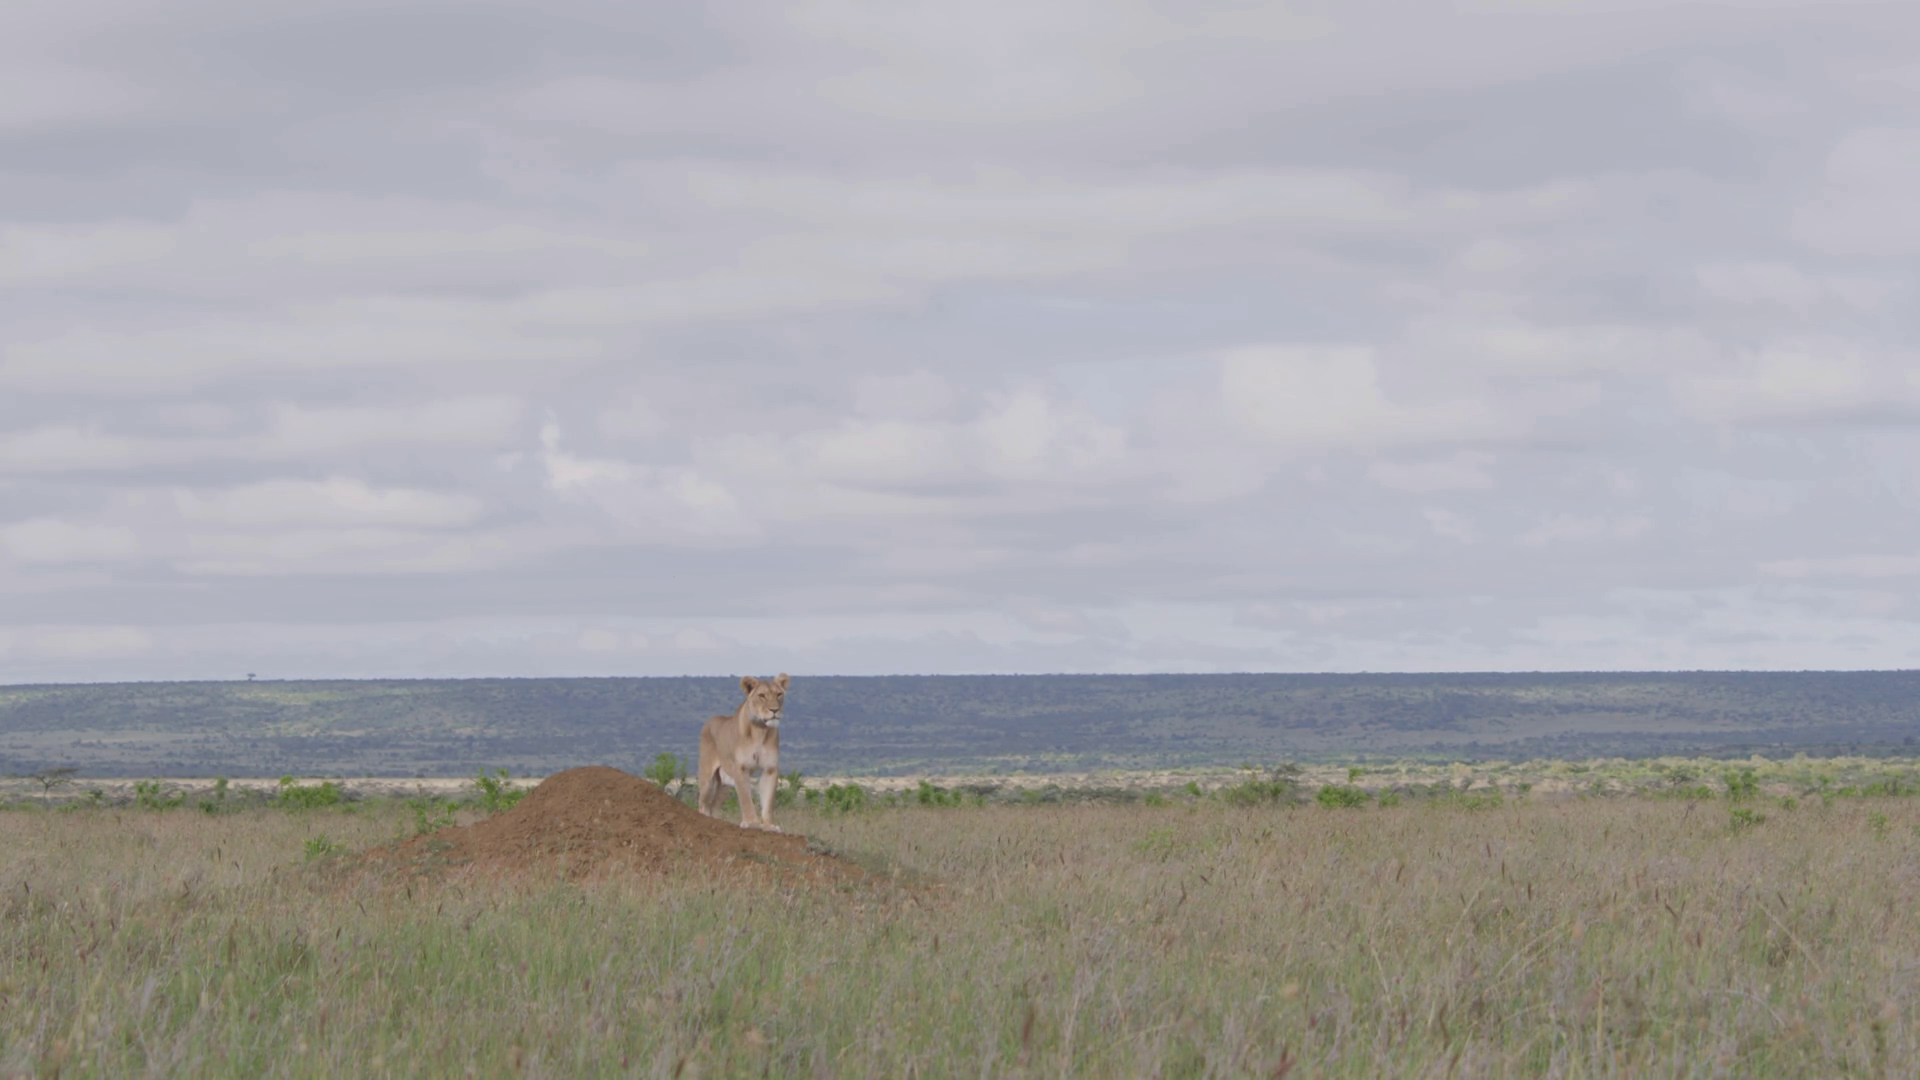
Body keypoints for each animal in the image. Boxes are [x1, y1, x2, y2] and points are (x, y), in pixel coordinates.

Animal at [696, 673, 790, 831]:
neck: (760, 730)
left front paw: (769, 826)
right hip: (708, 779)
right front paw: (751, 823)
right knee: (703, 804)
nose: (774, 710)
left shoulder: (770, 769)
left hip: (725, 785)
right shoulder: (741, 768)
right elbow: (745, 798)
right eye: (762, 695)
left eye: (779, 694)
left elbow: (768, 801)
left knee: (714, 806)